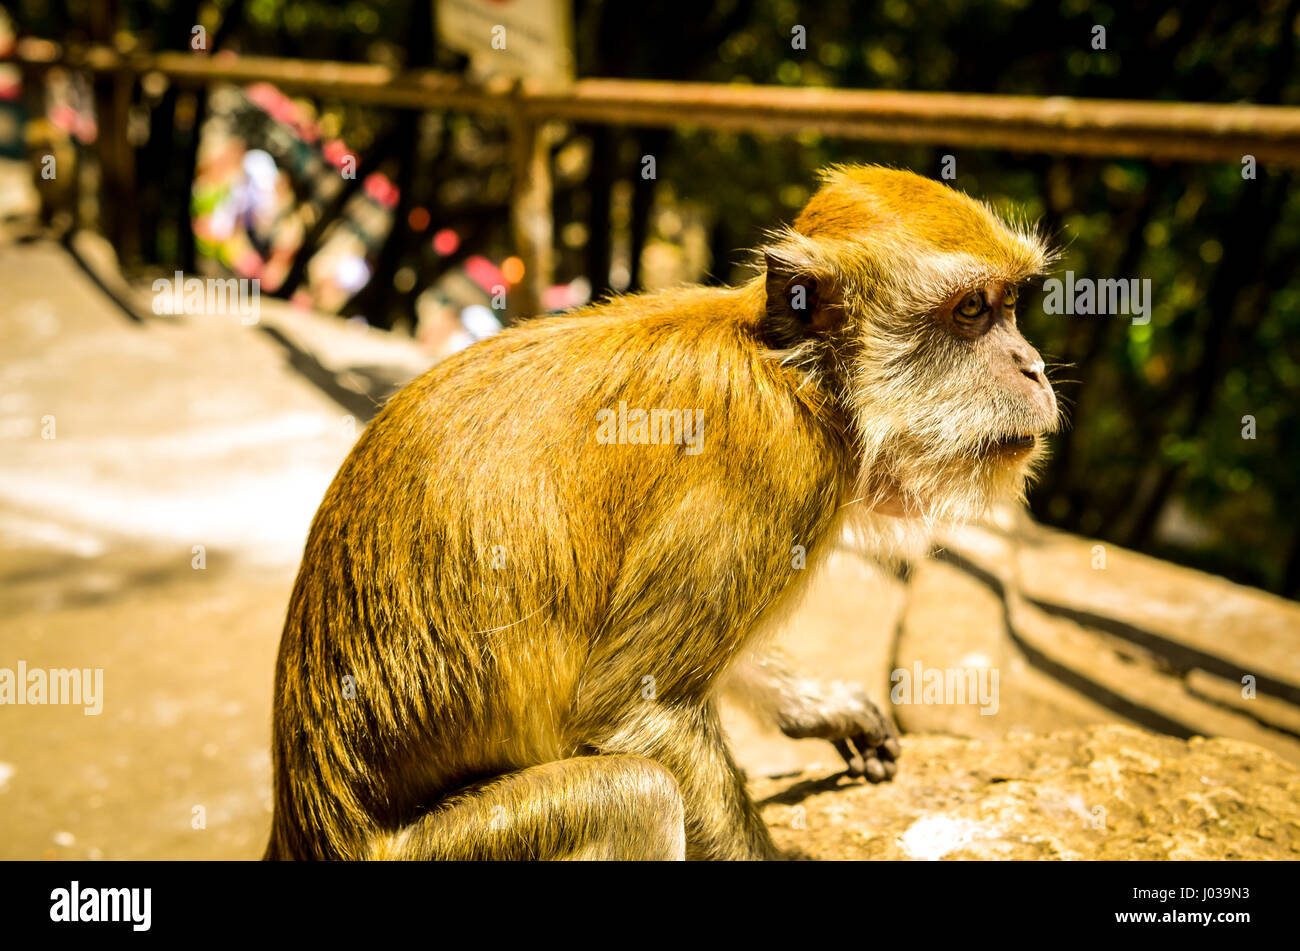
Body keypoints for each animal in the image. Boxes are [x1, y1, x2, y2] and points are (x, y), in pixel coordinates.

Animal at [265, 165, 1058, 861]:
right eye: (970, 311)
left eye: (1010, 306)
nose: (1035, 366)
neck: (800, 379)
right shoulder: (769, 462)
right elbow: (637, 713)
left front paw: (820, 705)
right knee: (638, 797)